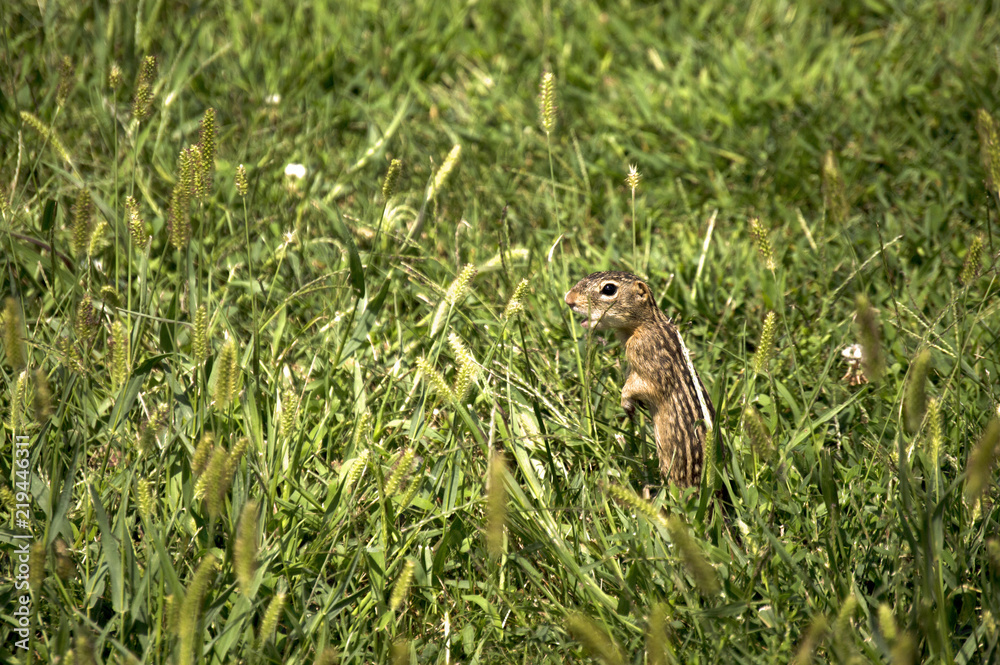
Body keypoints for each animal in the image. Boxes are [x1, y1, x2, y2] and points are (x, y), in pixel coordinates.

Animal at [565, 271, 715, 488]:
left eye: (608, 289)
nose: (568, 299)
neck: (647, 323)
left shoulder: (648, 357)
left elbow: (641, 385)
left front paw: (626, 403)